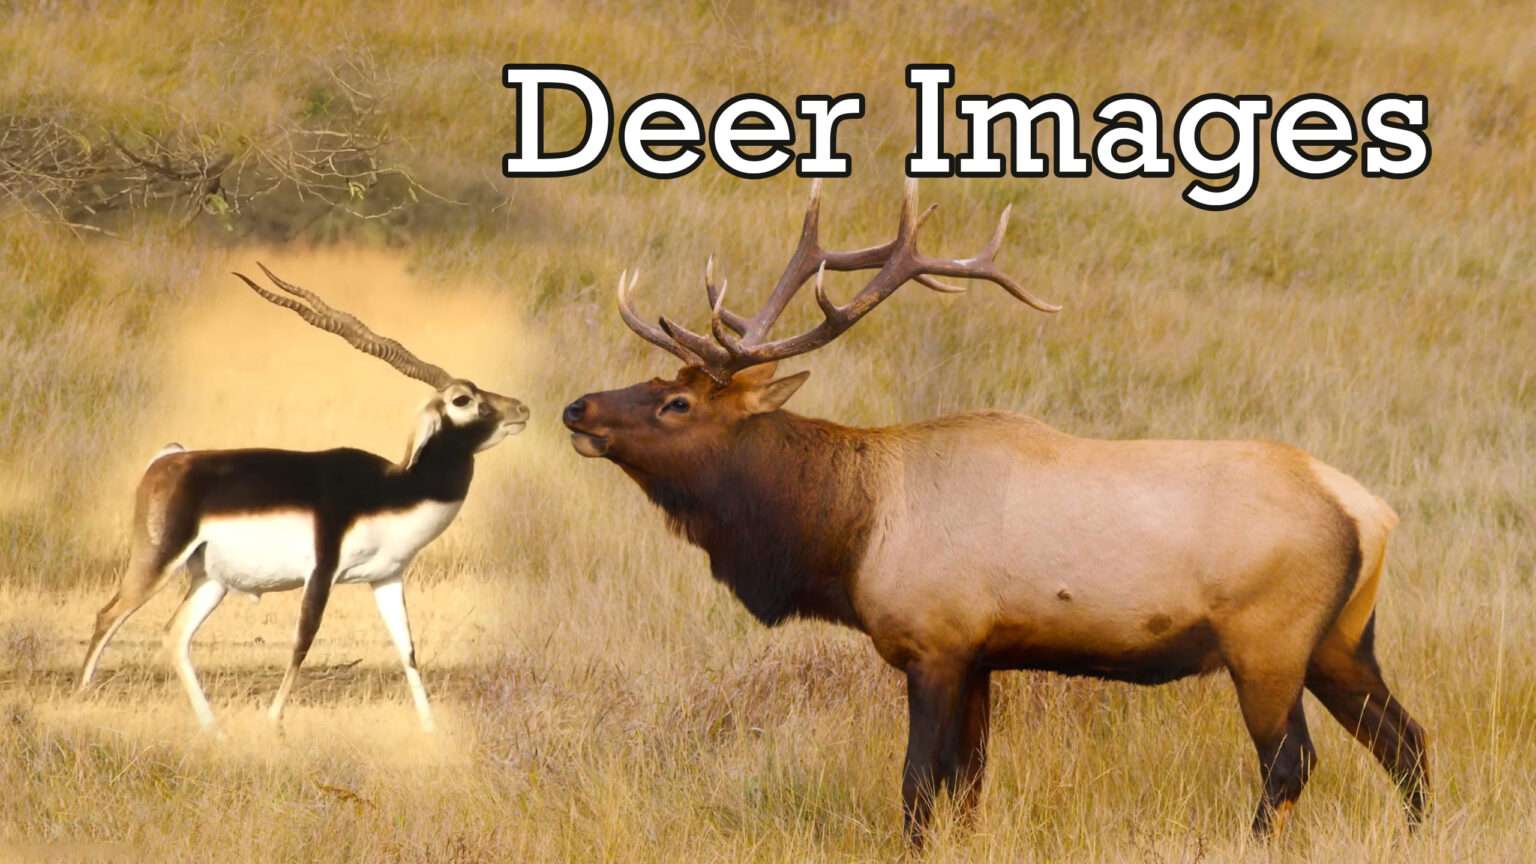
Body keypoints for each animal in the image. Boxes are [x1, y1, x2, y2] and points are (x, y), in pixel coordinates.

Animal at [76, 264, 529, 734]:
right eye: (463, 399)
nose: (520, 409)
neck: (393, 490)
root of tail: (168, 460)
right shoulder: (322, 572)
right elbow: (302, 642)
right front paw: (272, 722)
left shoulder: (387, 577)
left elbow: (408, 650)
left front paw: (431, 730)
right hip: (157, 561)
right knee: (108, 615)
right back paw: (80, 700)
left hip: (211, 580)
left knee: (174, 633)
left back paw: (214, 729)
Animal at [562, 180, 1429, 845]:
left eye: (676, 402)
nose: (577, 407)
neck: (847, 534)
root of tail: (1370, 511)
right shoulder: (983, 655)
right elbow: (972, 785)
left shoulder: (936, 644)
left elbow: (920, 784)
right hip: (1343, 641)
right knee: (1408, 742)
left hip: (1268, 640)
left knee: (1291, 761)